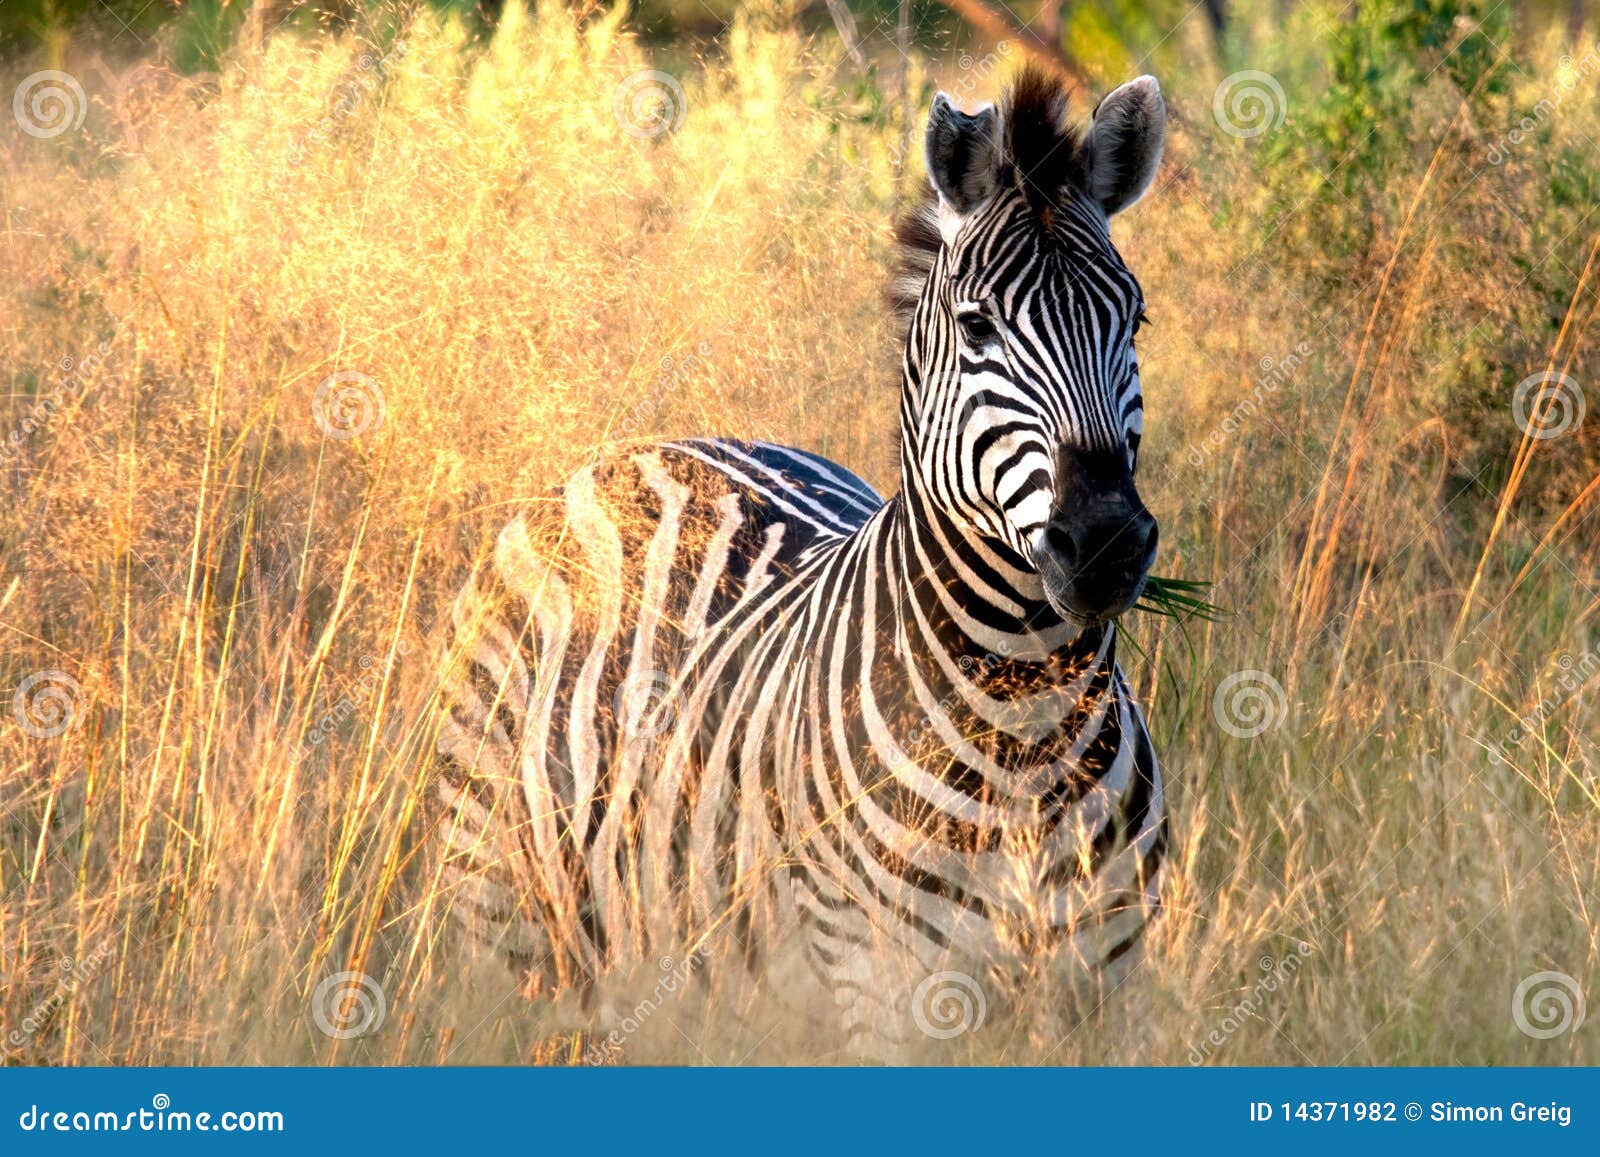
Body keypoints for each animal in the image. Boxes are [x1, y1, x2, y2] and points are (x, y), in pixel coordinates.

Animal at [434, 65, 1169, 1057]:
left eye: (1135, 318)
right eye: (977, 327)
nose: (1104, 543)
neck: (1026, 725)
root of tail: (646, 450)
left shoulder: (1107, 993)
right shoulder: (887, 991)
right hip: (506, 929)